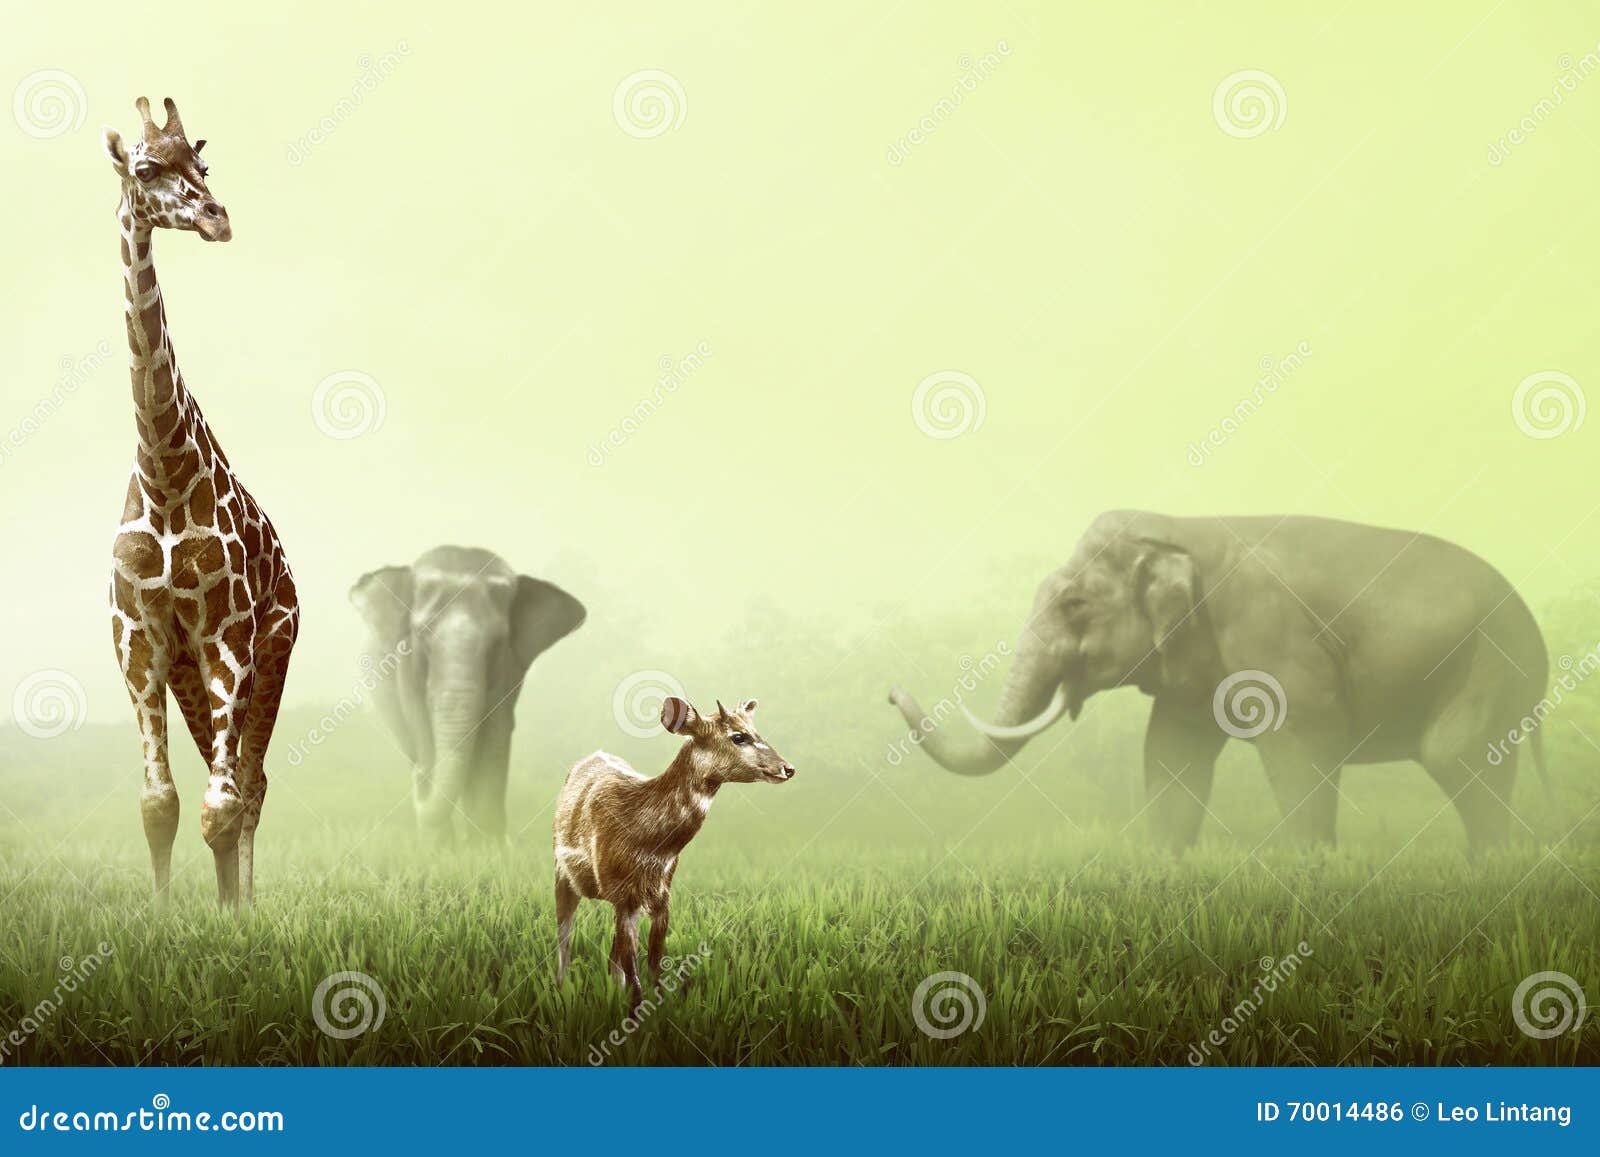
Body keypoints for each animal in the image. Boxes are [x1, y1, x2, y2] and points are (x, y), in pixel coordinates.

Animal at [350, 545, 587, 844]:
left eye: (497, 642)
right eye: (422, 636)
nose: (419, 783)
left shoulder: (509, 667)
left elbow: (497, 730)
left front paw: (487, 847)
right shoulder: (403, 664)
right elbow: (422, 727)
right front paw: (439, 848)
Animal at [553, 695, 795, 1009]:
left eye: (756, 730)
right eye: (738, 737)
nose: (788, 768)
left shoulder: (661, 893)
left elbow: (654, 963)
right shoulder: (622, 893)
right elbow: (634, 973)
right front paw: (636, 1013)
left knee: (612, 956)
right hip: (561, 872)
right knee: (564, 936)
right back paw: (562, 987)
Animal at [889, 511, 1549, 853]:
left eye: (1074, 605)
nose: (891, 691)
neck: (1178, 526)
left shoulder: (1272, 635)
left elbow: (1307, 739)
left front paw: (1312, 866)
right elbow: (1172, 754)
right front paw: (1165, 864)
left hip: (1493, 662)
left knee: (1454, 754)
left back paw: (1489, 867)